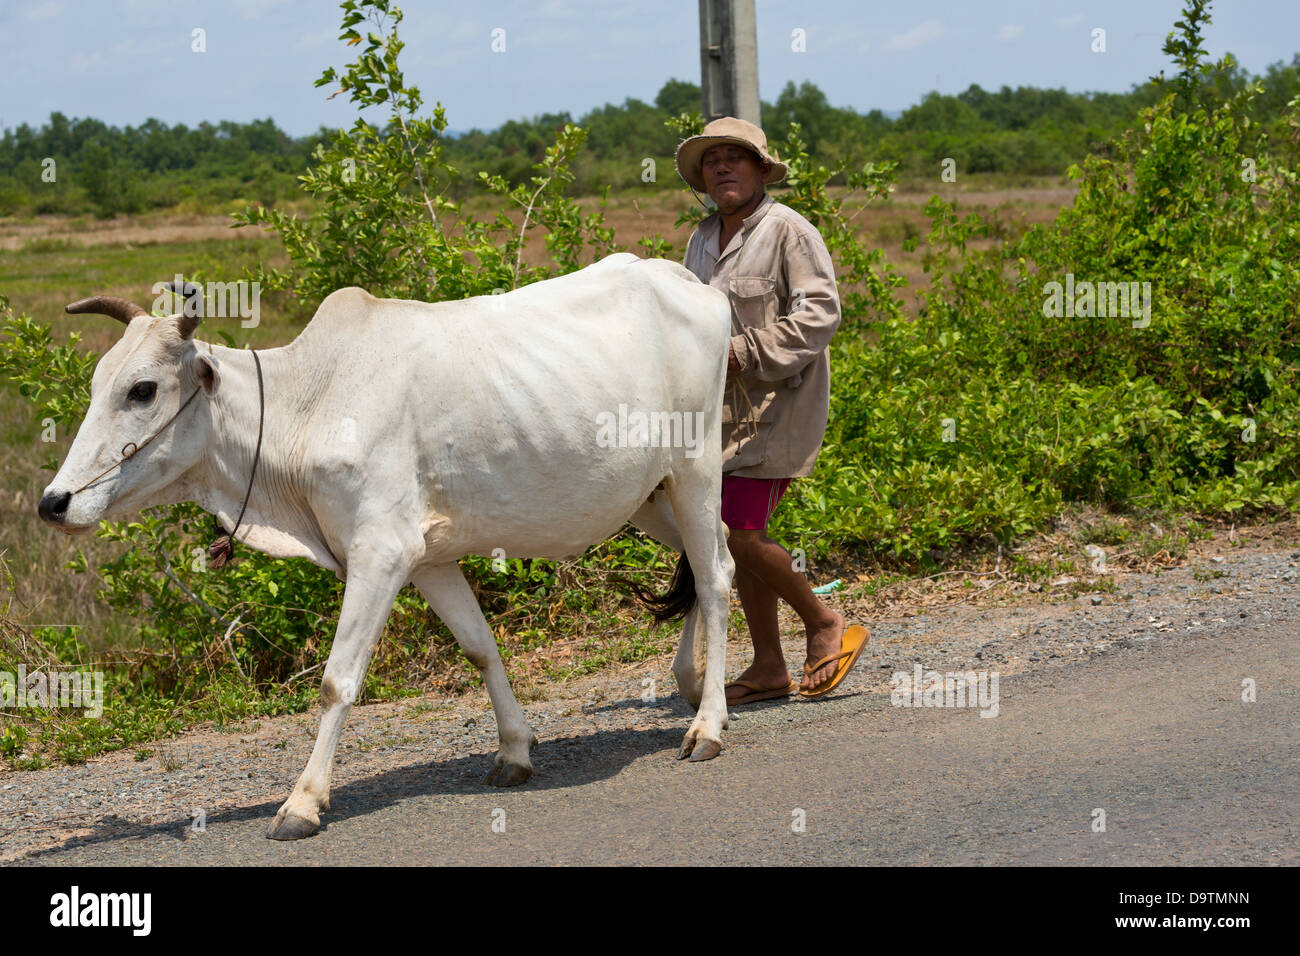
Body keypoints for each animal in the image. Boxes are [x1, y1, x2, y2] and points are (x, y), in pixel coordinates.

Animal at [37, 253, 736, 840]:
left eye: (143, 389)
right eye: (98, 384)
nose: (54, 503)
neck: (306, 405)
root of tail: (688, 280)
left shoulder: (380, 553)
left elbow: (337, 680)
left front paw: (303, 802)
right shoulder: (429, 559)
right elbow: (480, 649)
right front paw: (514, 750)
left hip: (696, 468)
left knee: (715, 576)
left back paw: (707, 725)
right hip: (649, 494)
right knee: (713, 559)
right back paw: (691, 684)